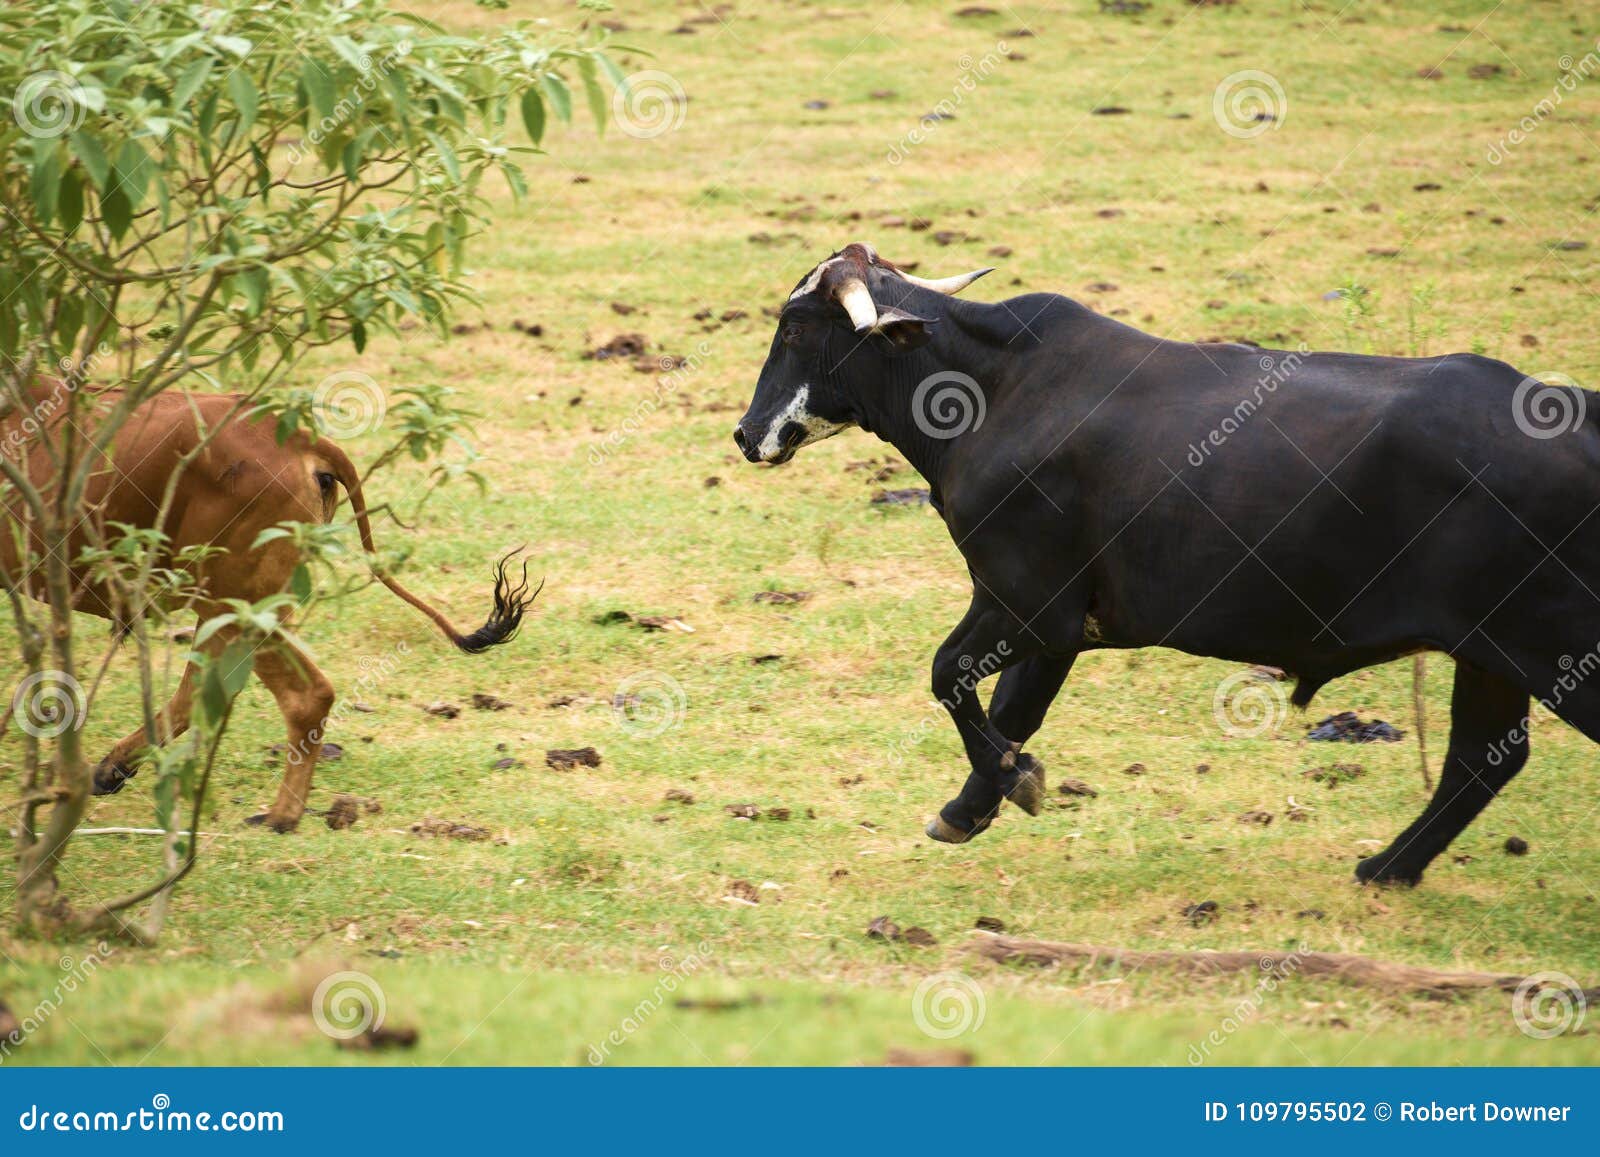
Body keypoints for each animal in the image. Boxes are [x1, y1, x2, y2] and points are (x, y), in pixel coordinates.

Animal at [1, 384, 534, 832]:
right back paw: (116, 769)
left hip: (234, 605)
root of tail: (297, 435)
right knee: (203, 693)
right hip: (233, 609)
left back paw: (279, 816)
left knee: (304, 695)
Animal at [735, 242, 1600, 887]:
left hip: (1550, 645)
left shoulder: (1023, 601)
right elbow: (1013, 708)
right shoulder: (1059, 624)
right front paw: (974, 805)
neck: (997, 390)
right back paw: (1387, 867)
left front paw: (1015, 780)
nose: (746, 433)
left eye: (796, 330)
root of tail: (1573, 411)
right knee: (1480, 760)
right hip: (1491, 654)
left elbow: (950, 675)